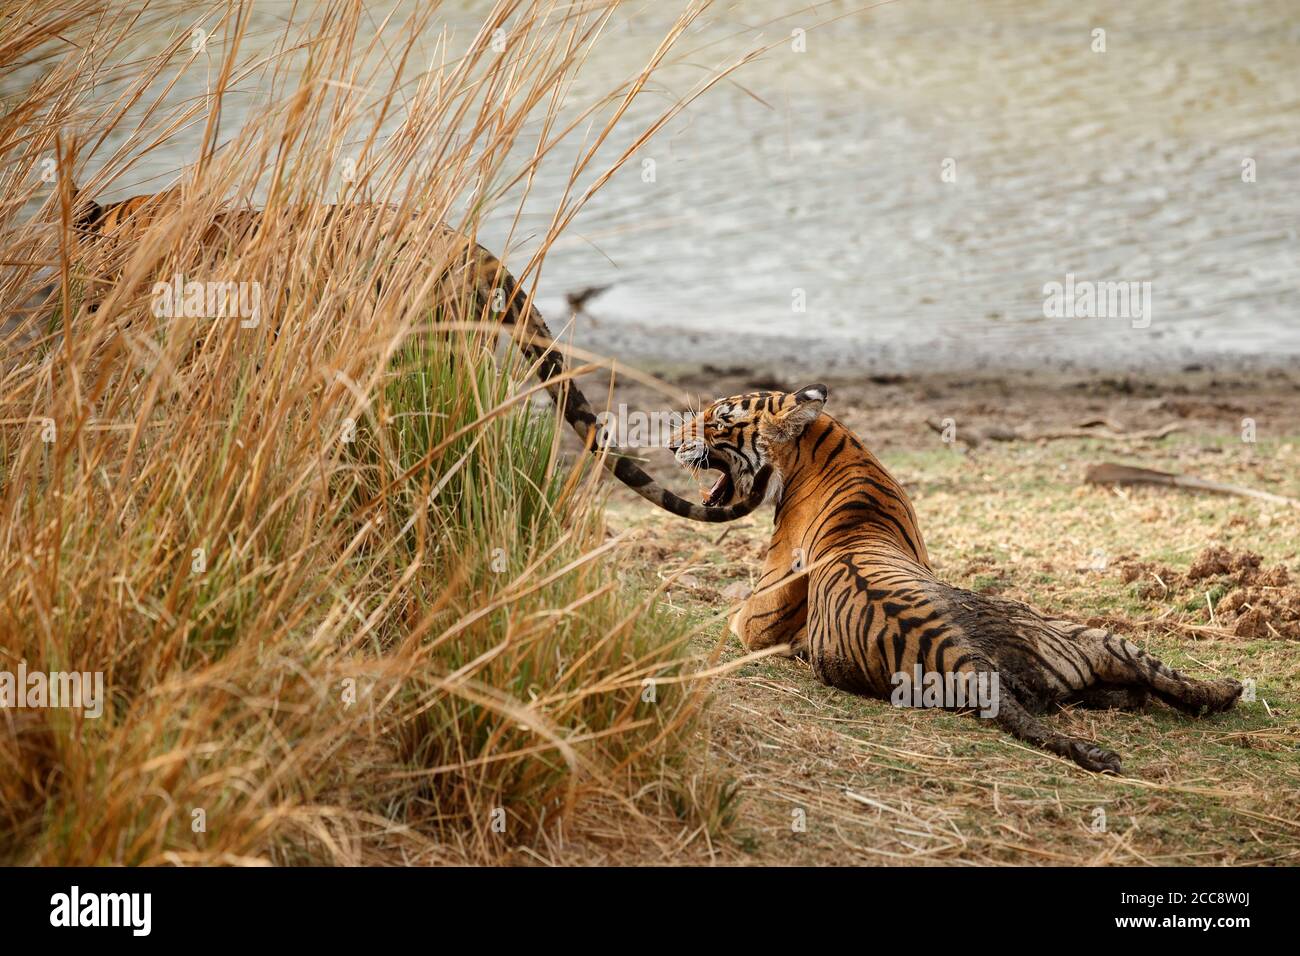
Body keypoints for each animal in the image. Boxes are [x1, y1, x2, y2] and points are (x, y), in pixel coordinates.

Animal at [668, 384, 1244, 773]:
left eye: (718, 421)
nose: (673, 443)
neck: (827, 446)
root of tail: (956, 654)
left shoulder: (756, 617)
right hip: (1075, 632)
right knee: (1159, 682)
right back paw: (1227, 690)